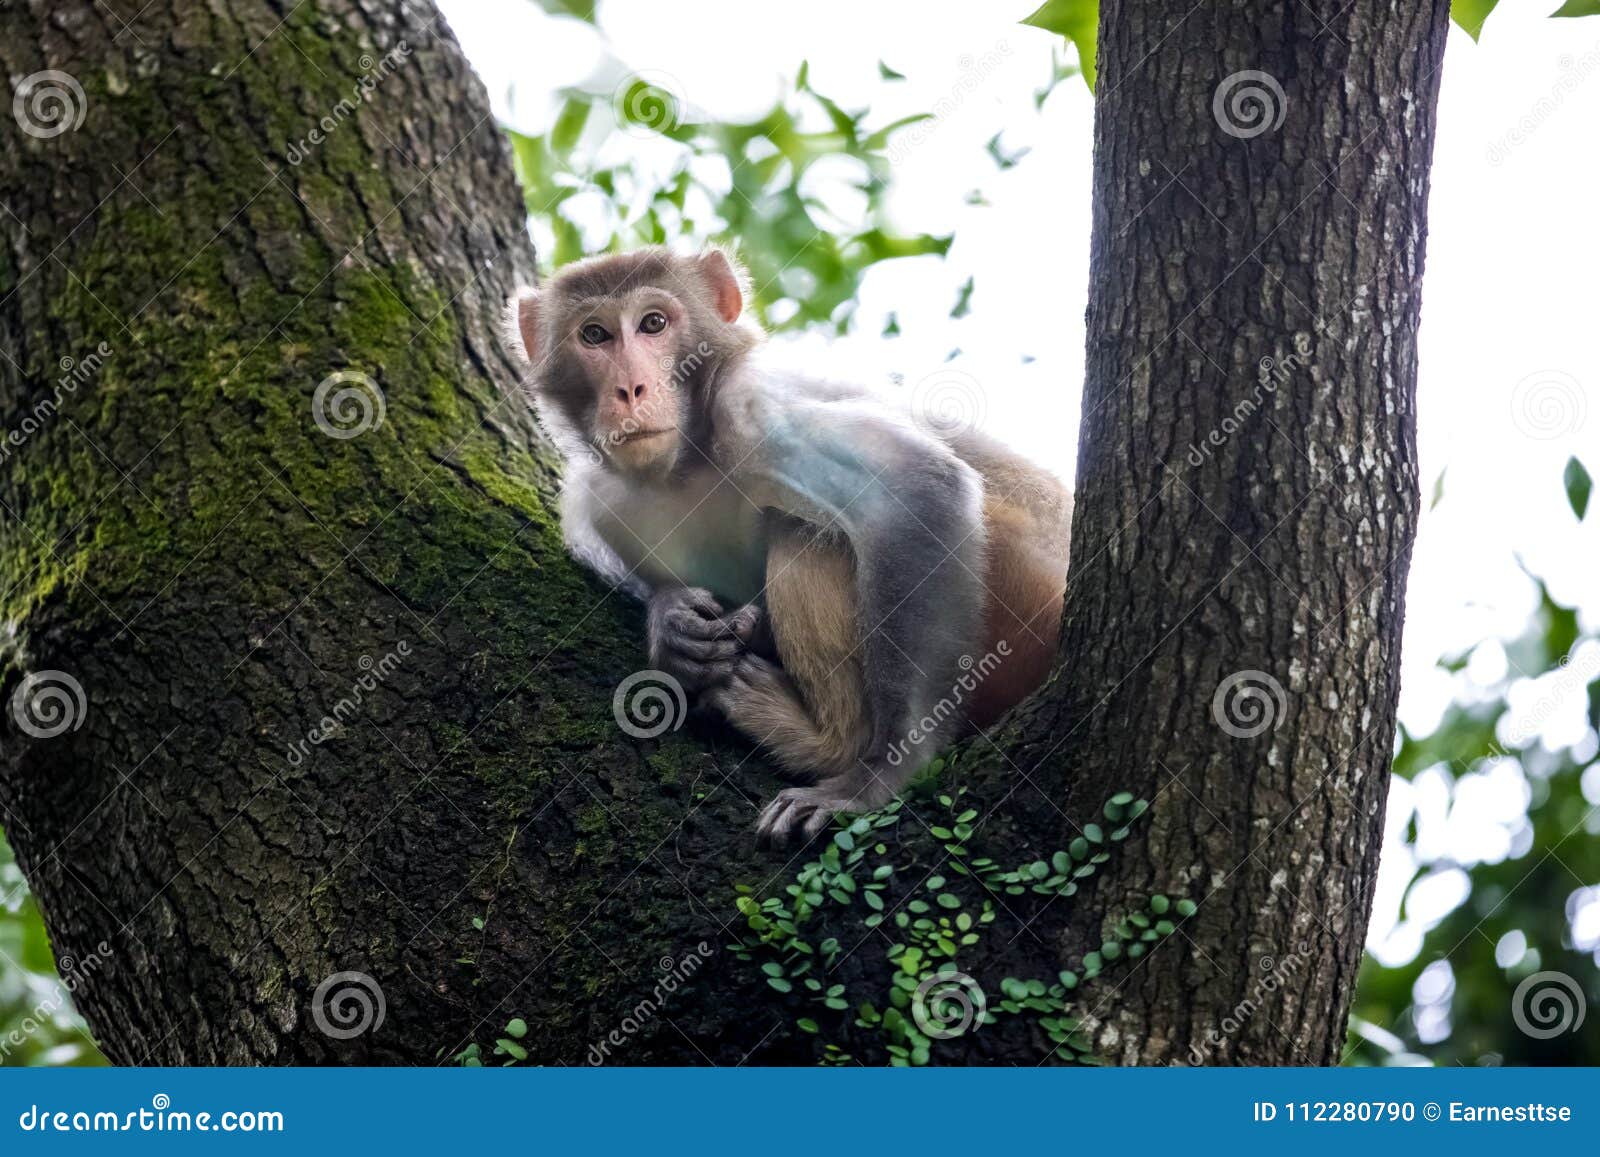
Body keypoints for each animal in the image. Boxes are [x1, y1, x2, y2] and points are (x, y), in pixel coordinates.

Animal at [505, 247, 1071, 845]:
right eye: (594, 335)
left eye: (653, 324)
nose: (630, 389)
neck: (686, 464)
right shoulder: (602, 501)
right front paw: (672, 624)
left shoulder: (752, 406)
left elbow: (918, 487)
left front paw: (881, 775)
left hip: (1023, 600)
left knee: (807, 528)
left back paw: (825, 742)